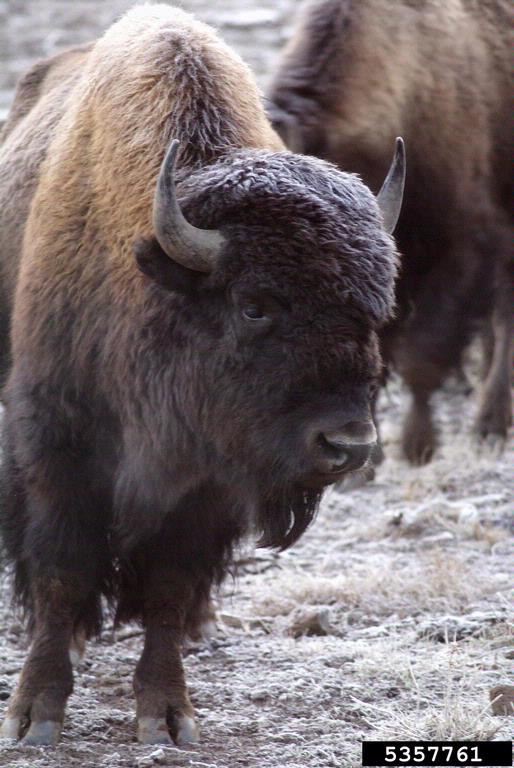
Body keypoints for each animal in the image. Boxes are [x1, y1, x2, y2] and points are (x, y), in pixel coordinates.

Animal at [0, 4, 404, 746]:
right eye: (255, 305)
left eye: (376, 308)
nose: (348, 446)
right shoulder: (55, 439)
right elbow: (63, 569)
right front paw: (35, 714)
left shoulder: (209, 480)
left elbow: (168, 585)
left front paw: (167, 716)